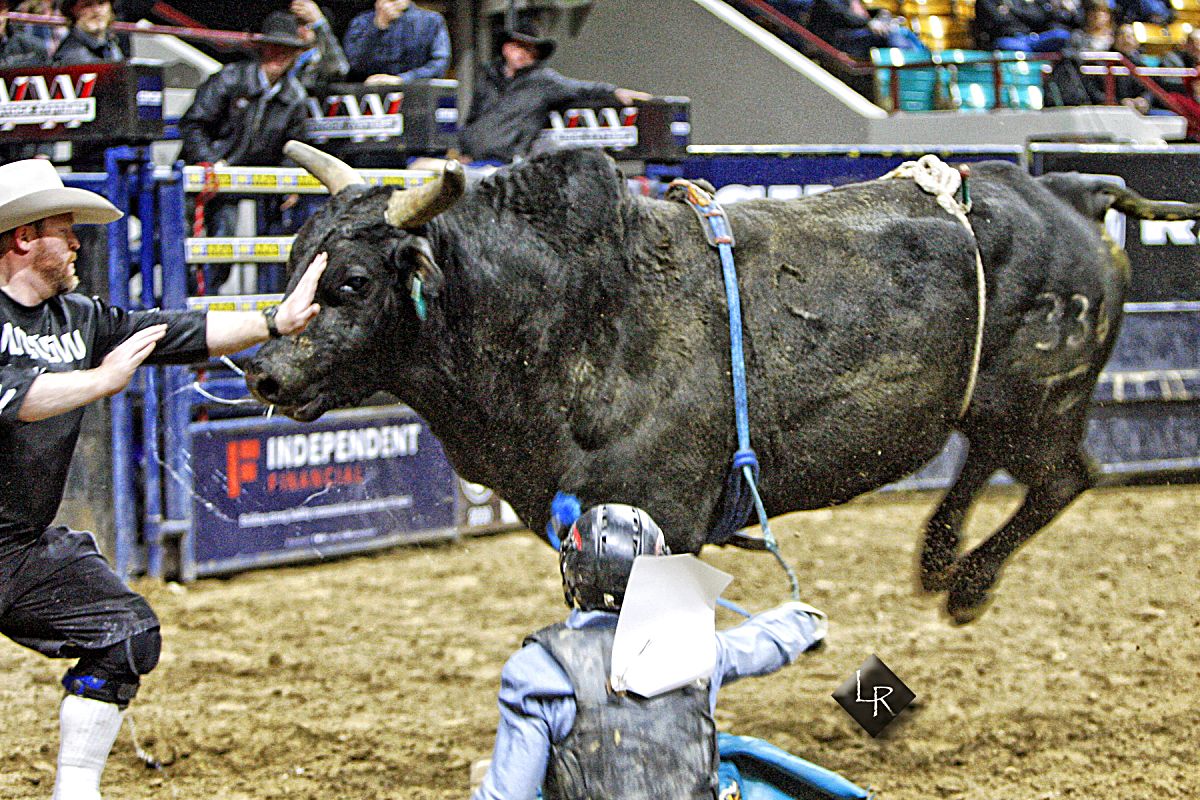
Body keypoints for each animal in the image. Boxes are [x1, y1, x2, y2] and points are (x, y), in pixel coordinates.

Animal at [244, 141, 1200, 623]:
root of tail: (1068, 188)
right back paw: (937, 557)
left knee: (1064, 477)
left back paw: (964, 585)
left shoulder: (658, 524)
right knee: (984, 459)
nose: (263, 370)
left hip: (1044, 400)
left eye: (352, 283)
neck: (573, 313)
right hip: (991, 404)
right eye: (293, 259)